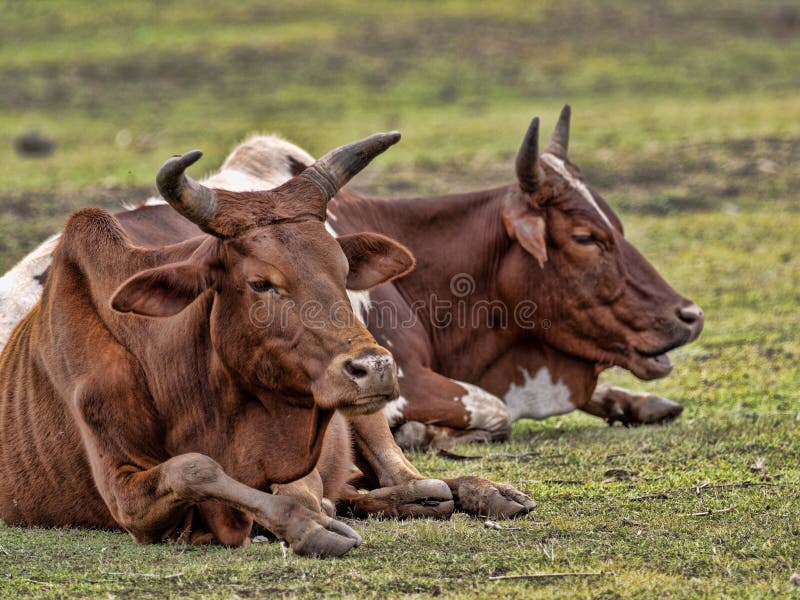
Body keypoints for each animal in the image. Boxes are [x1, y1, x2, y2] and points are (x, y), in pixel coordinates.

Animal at [0, 132, 535, 559]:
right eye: (260, 283)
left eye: (343, 269)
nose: (376, 366)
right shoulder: (122, 493)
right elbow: (196, 468)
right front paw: (311, 527)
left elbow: (299, 489)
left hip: (362, 414)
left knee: (413, 478)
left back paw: (486, 492)